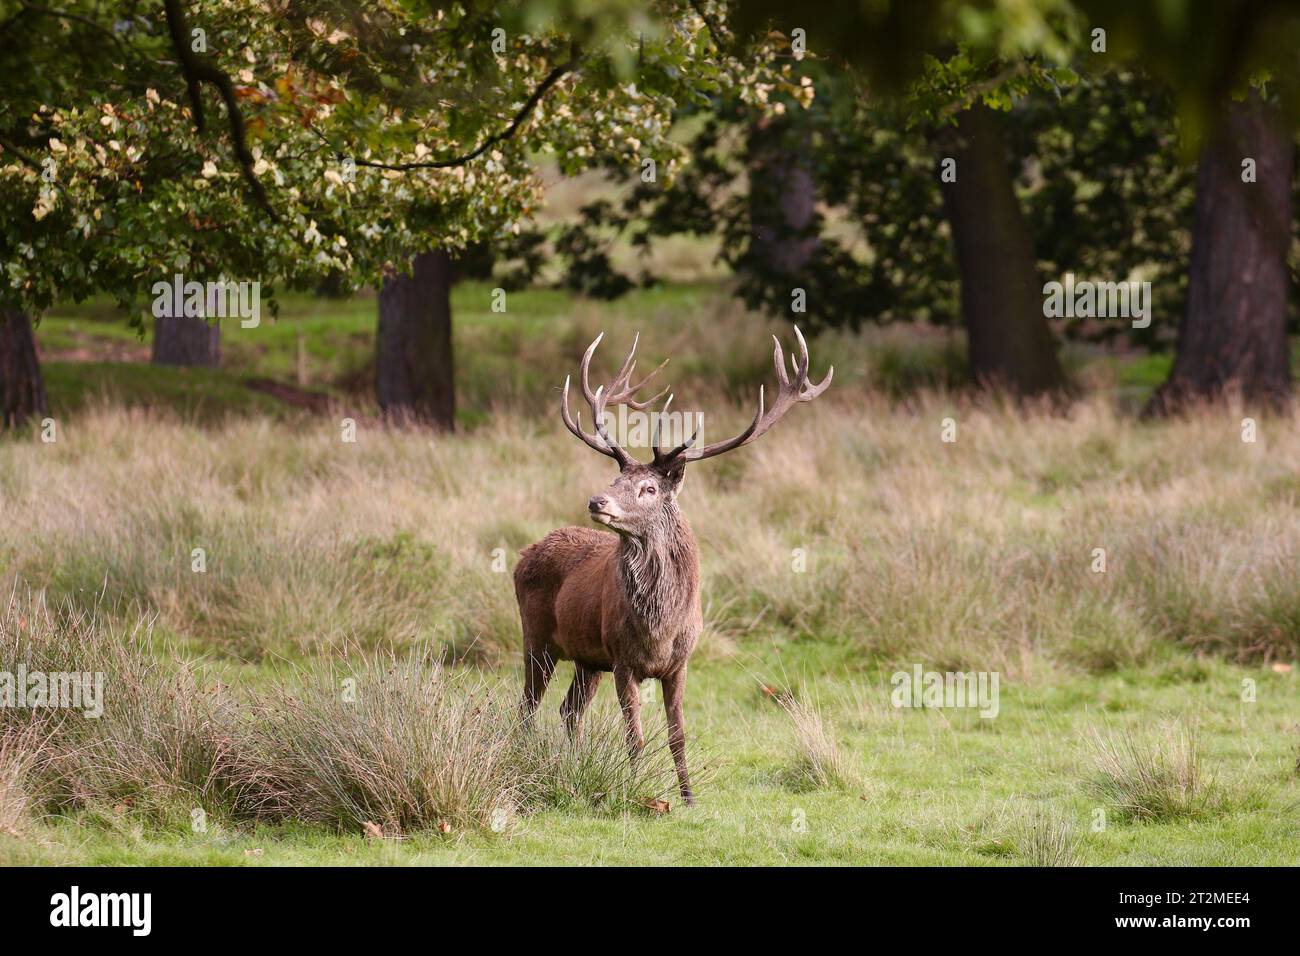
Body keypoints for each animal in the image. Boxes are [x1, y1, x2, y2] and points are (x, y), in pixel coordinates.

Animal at [513, 328, 831, 805]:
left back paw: (570, 766)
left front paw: (688, 797)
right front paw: (636, 791)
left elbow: (678, 734)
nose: (596, 501)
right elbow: (636, 737)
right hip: (537, 639)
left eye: (648, 487)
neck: (659, 628)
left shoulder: (679, 663)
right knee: (526, 709)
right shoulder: (623, 659)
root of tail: (523, 555)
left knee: (569, 711)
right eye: (615, 480)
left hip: (586, 658)